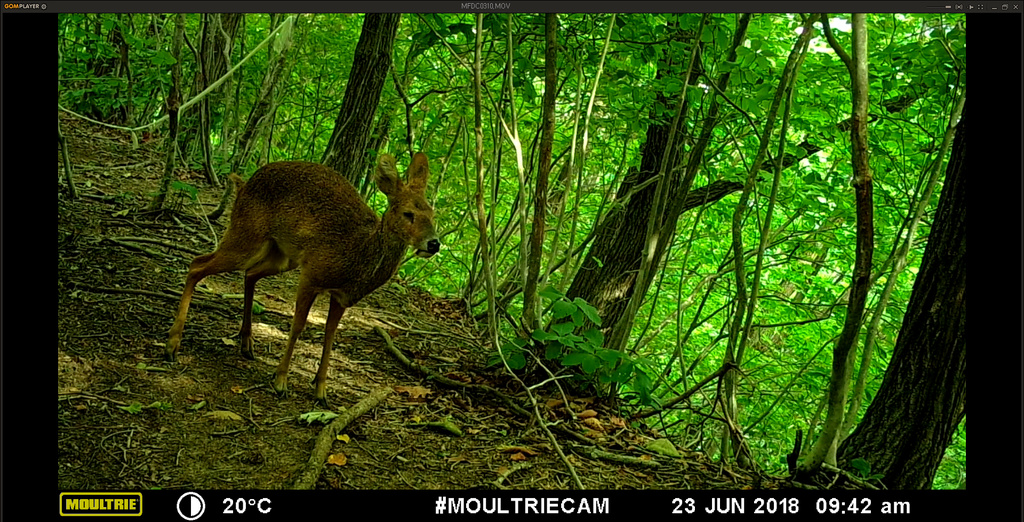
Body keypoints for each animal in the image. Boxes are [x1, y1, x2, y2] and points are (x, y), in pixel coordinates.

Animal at [166, 153, 440, 405]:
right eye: (408, 213)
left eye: (432, 214)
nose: (434, 244)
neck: (357, 256)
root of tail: (244, 184)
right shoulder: (312, 275)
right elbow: (298, 326)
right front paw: (280, 381)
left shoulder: (341, 296)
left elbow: (330, 335)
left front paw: (321, 390)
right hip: (246, 236)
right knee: (196, 265)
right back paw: (172, 344)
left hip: (281, 256)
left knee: (249, 274)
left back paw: (246, 343)